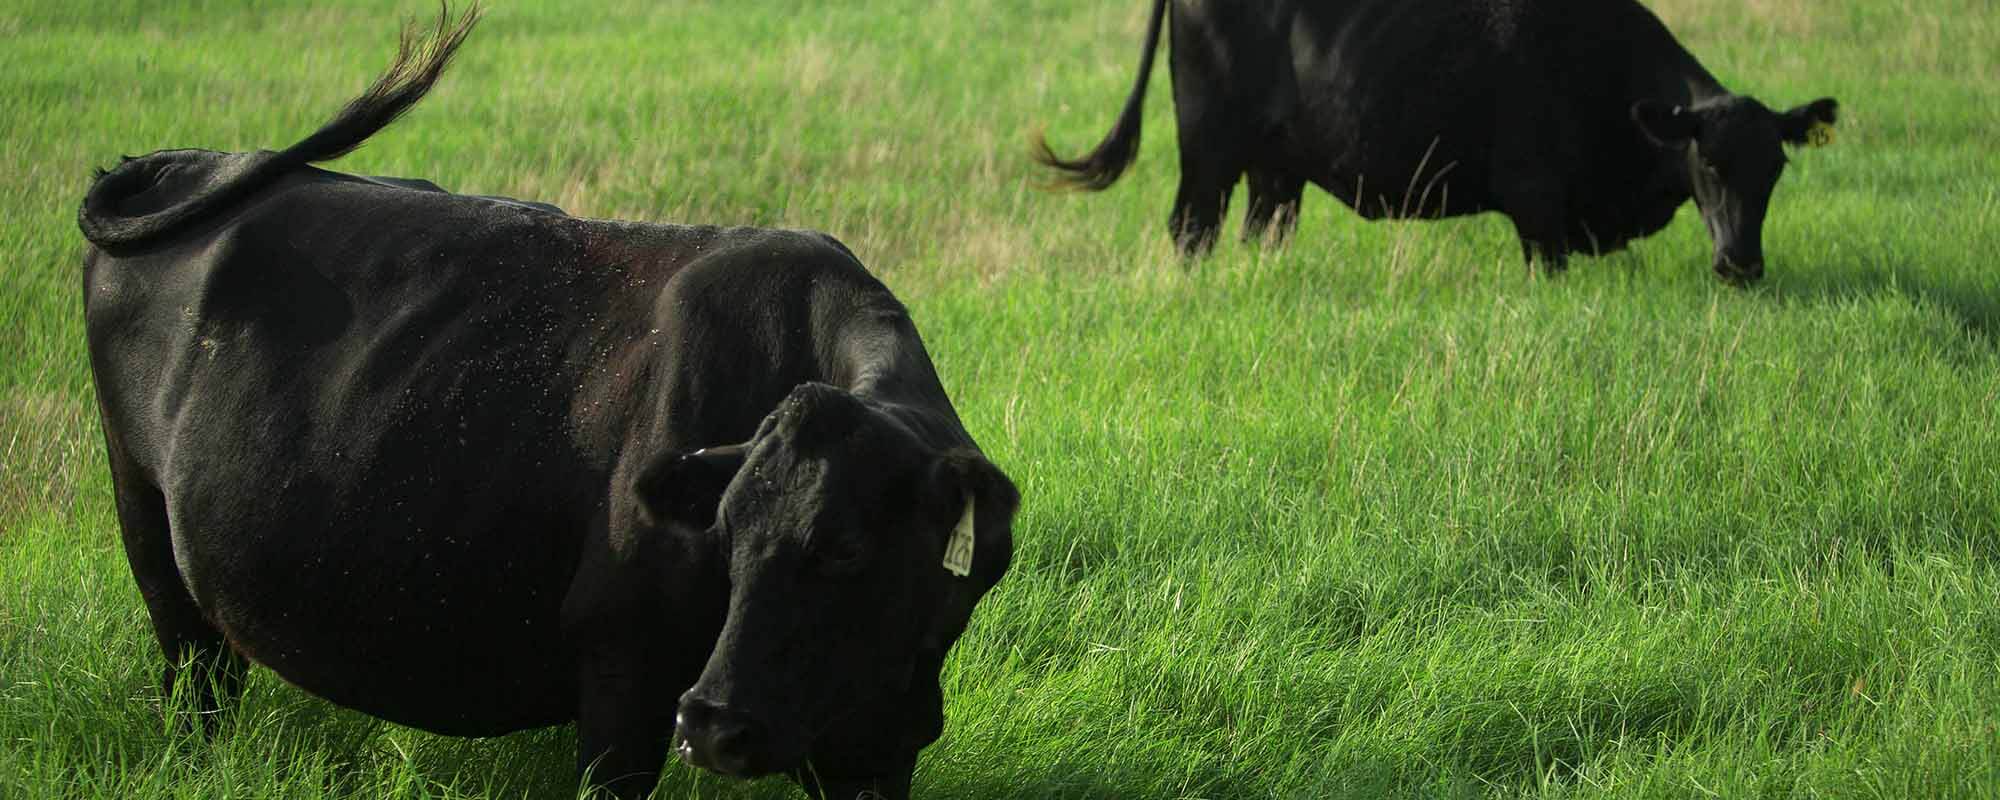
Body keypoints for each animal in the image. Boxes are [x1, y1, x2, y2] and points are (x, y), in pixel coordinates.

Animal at [77, 7, 1017, 799]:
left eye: (848, 548)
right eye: (726, 534)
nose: (712, 723)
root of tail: (186, 159)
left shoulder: (882, 745)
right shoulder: (623, 675)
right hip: (146, 521)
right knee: (197, 679)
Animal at [1032, 0, 1840, 282]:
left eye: (1776, 169)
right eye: (1710, 162)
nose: (1742, 265)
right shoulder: (1539, 208)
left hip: (1276, 170)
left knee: (1263, 230)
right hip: (1207, 152)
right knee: (1191, 230)